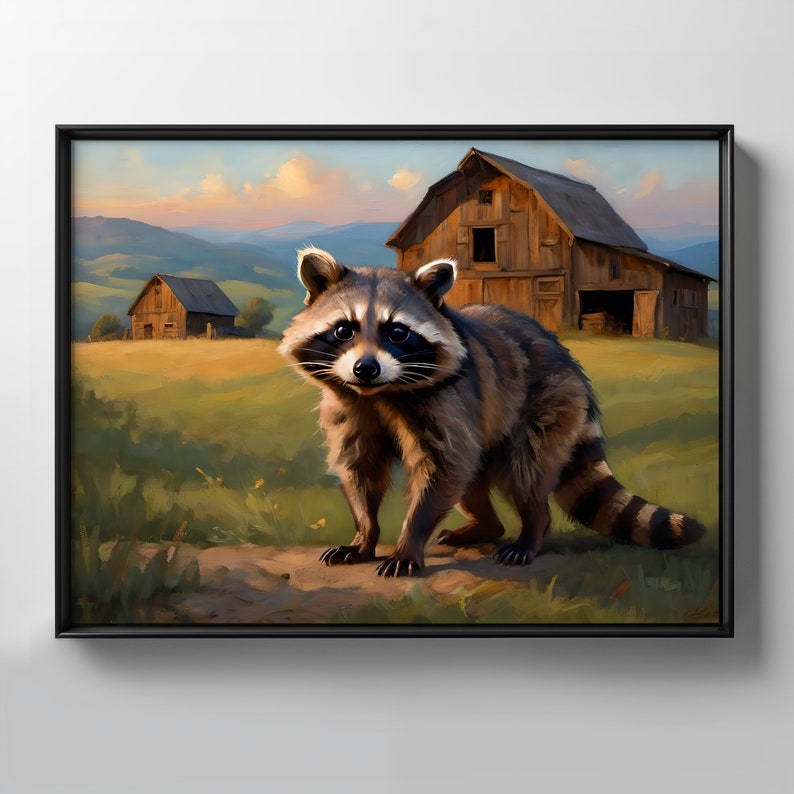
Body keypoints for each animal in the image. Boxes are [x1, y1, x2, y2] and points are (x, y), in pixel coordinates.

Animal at [279, 247, 706, 577]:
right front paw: (365, 535)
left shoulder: (449, 400)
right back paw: (485, 525)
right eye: (343, 330)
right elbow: (361, 470)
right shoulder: (350, 408)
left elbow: (442, 469)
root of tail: (567, 359)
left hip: (547, 402)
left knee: (526, 470)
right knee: (472, 480)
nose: (365, 369)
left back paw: (532, 527)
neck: (381, 393)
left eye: (397, 332)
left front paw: (409, 540)